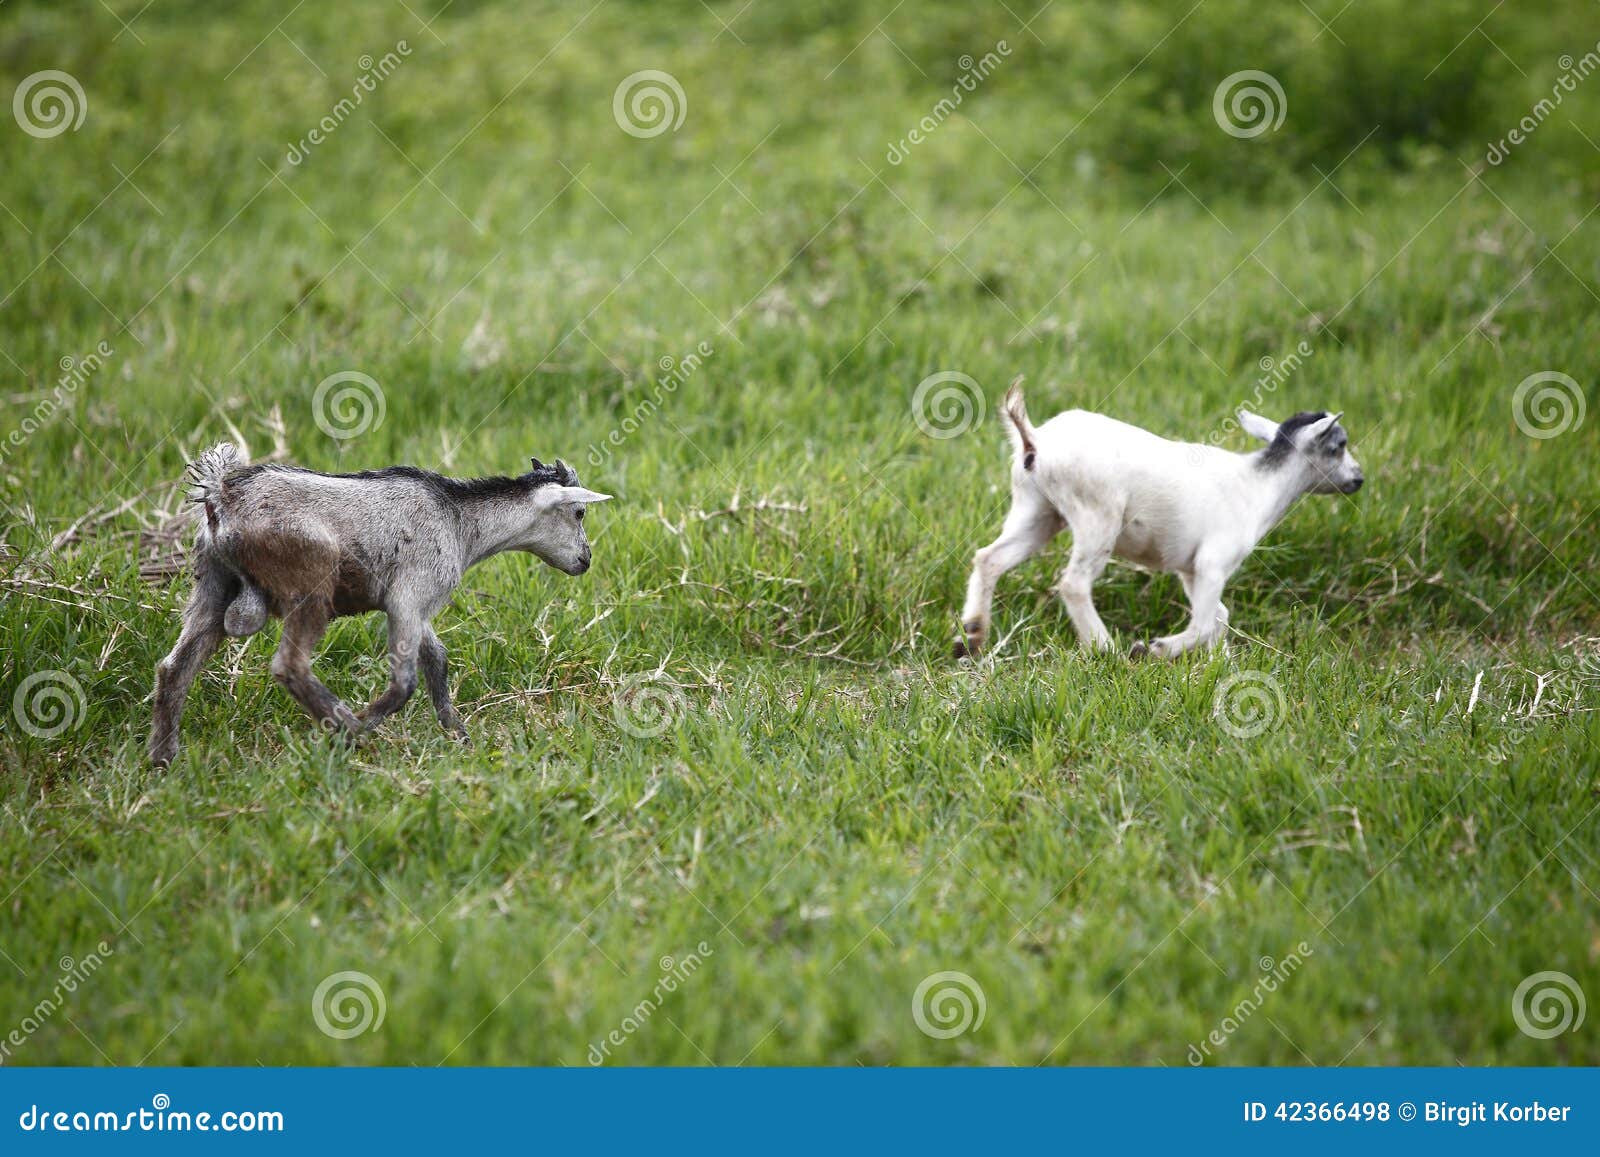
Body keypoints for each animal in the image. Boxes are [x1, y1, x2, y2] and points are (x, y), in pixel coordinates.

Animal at [149, 444, 611, 766]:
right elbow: (405, 681)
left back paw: (162, 758)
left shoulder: (418, 607)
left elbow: (437, 662)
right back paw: (350, 732)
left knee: (175, 666)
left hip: (212, 583)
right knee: (289, 665)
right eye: (580, 512)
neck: (460, 522)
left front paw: (460, 737)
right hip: (311, 584)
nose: (586, 560)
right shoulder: (407, 598)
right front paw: (368, 723)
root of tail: (220, 496)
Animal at [957, 382, 1363, 661]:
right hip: (1097, 515)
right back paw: (1106, 649)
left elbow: (1219, 616)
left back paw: (972, 637)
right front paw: (1155, 648)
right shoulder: (1213, 562)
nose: (1358, 478)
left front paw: (1218, 664)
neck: (1259, 484)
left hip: (1036, 510)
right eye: (1339, 445)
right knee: (1073, 584)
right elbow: (1205, 623)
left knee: (989, 557)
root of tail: (1035, 441)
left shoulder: (1190, 570)